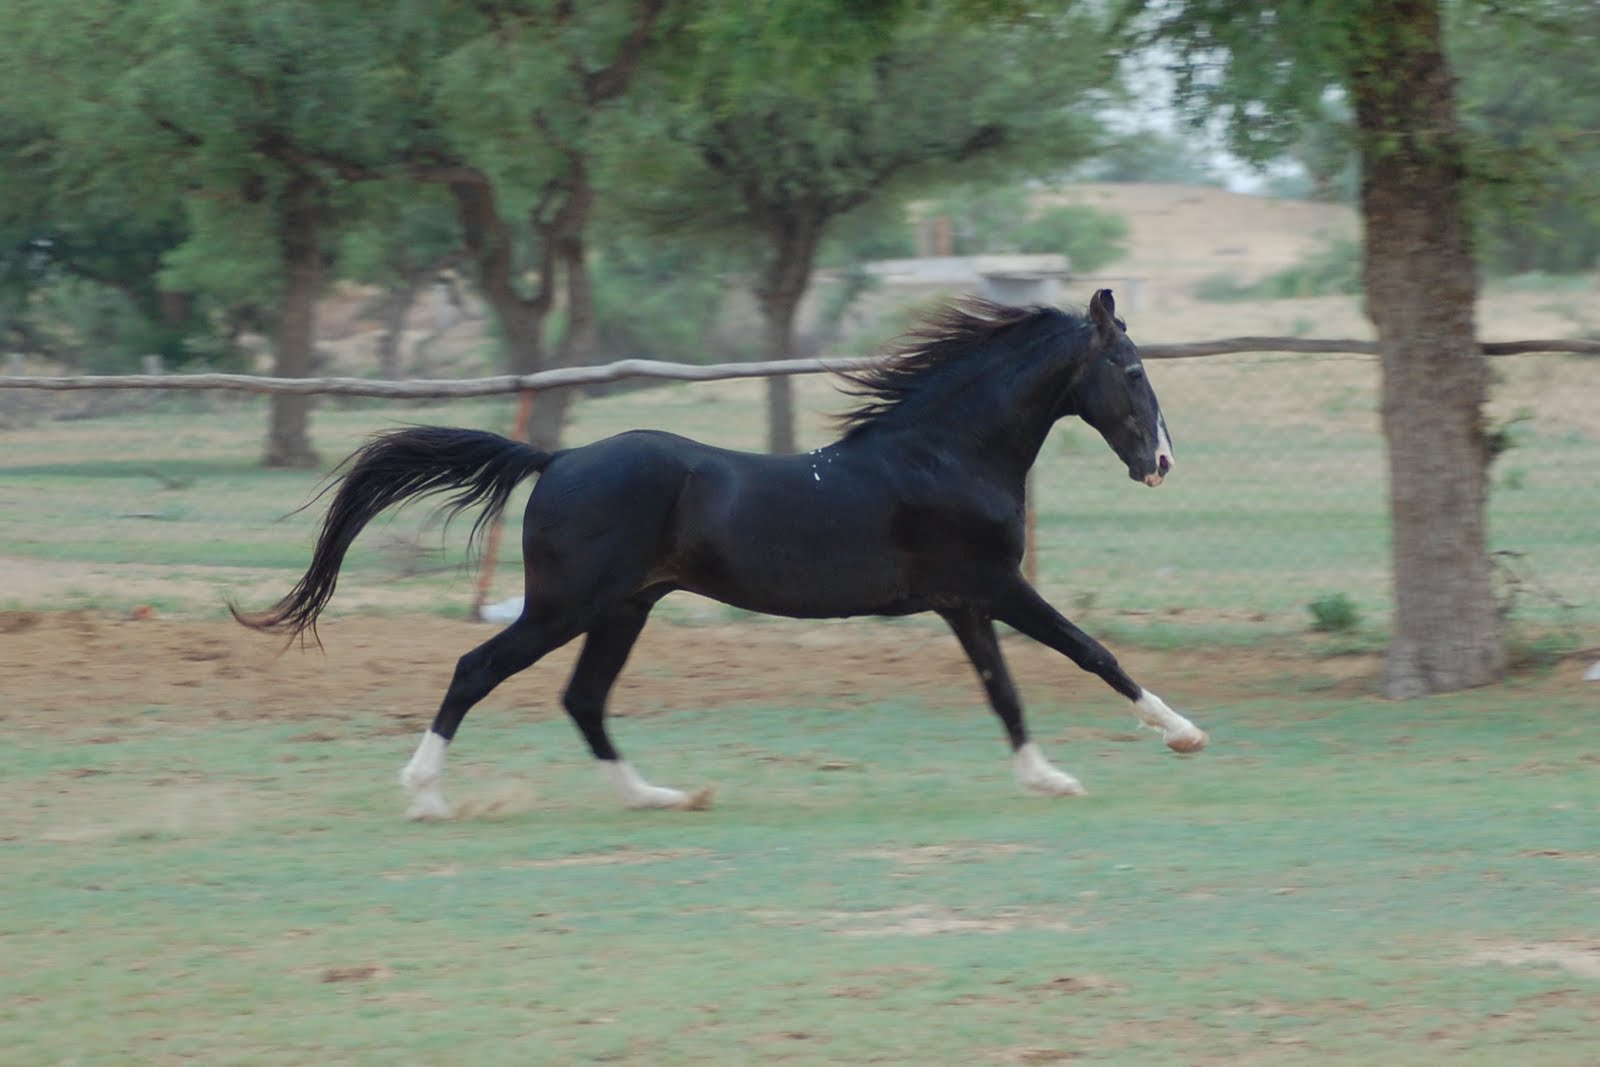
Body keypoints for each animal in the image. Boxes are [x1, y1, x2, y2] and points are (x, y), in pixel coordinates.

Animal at [234, 289, 1206, 819]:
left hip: (624, 607)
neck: (944, 452)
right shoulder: (993, 586)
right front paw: (1183, 733)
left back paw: (660, 797)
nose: (1160, 463)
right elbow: (1091, 652)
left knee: (583, 698)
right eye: (1129, 371)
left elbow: (1003, 692)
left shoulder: (963, 601)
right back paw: (426, 792)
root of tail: (556, 458)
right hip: (568, 605)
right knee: (479, 668)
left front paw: (1047, 777)